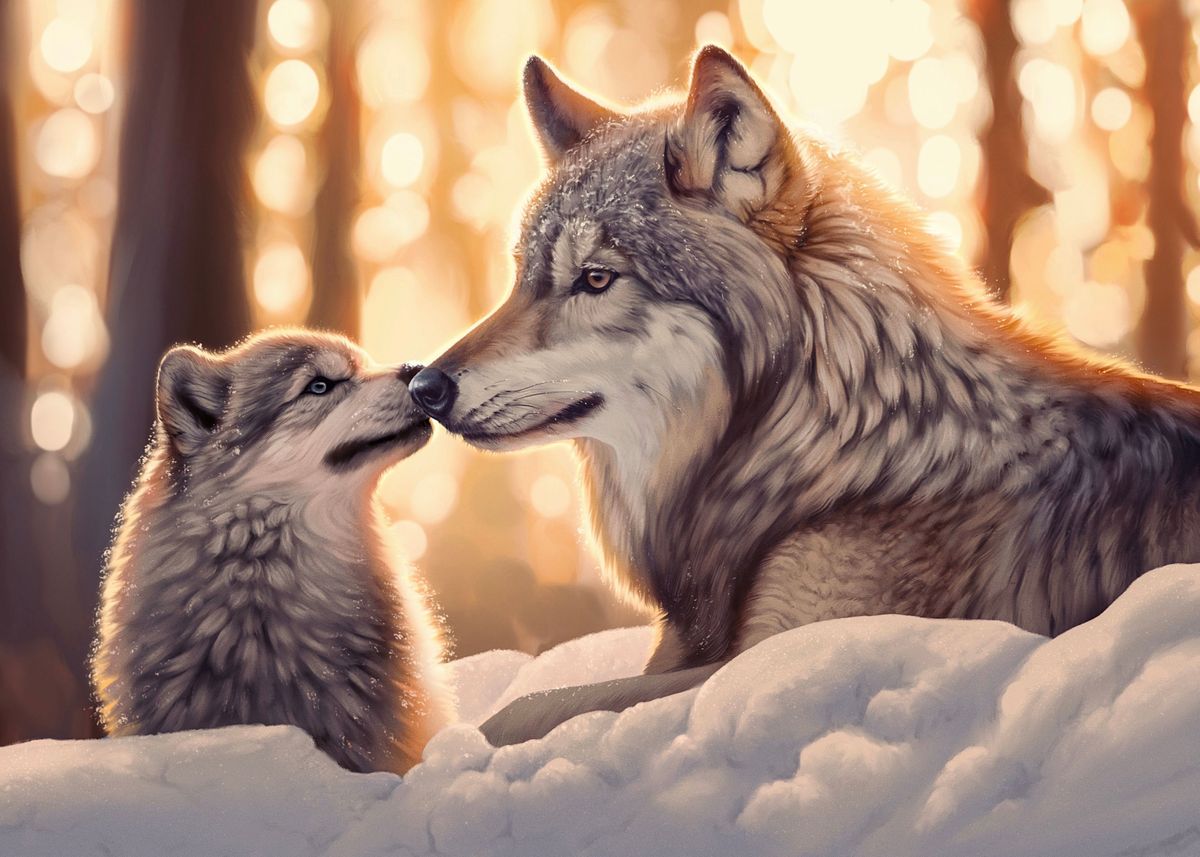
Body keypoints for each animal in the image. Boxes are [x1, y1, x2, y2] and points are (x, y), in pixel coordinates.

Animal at [408, 46, 1200, 745]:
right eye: (522, 278)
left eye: (596, 278)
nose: (425, 384)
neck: (833, 441)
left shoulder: (787, 650)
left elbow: (526, 708)